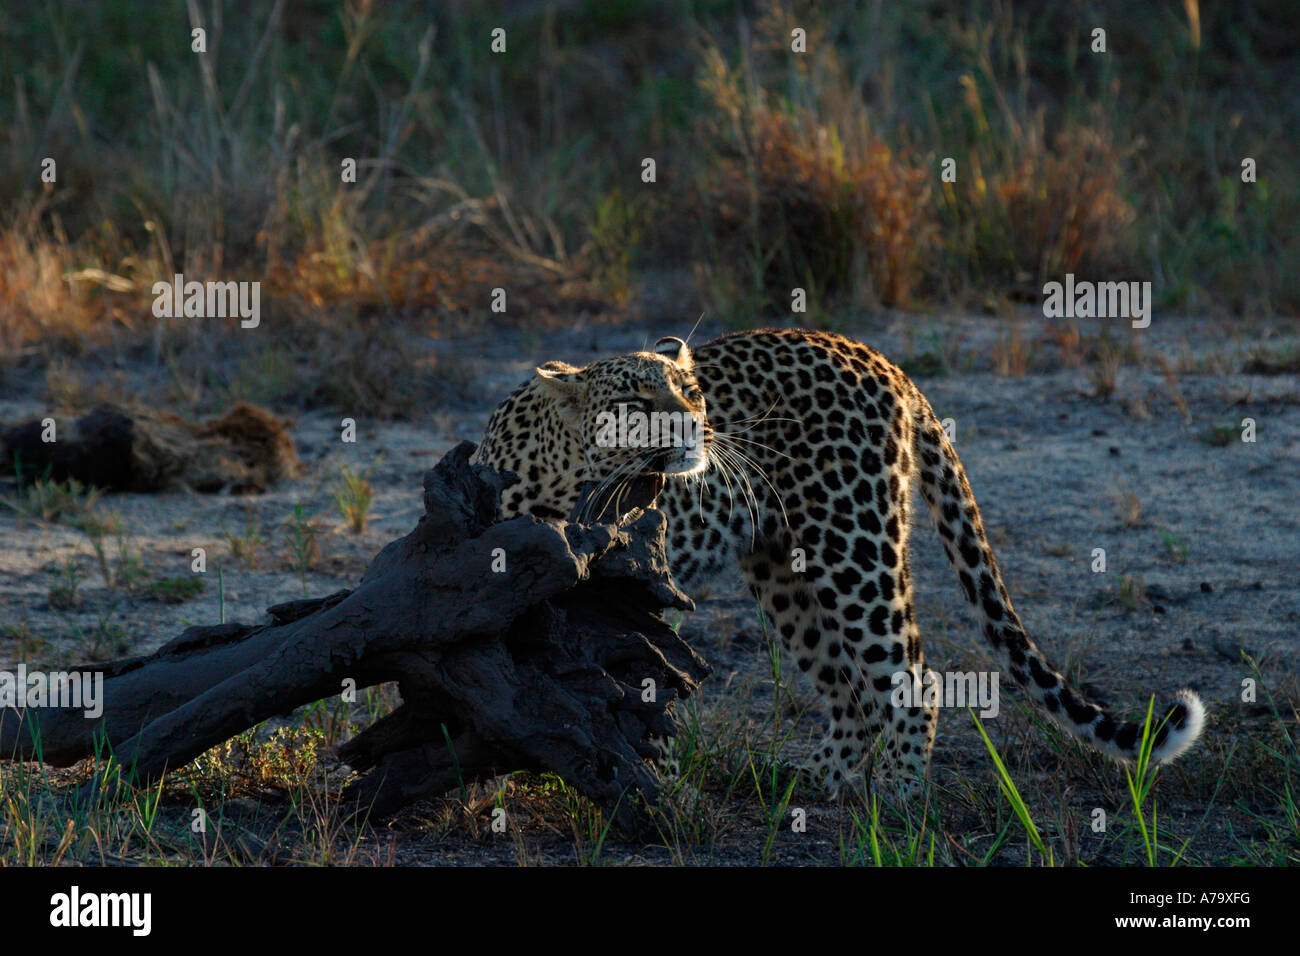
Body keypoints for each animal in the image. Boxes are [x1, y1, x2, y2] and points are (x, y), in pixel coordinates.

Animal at [472, 327, 1205, 794]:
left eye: (691, 392)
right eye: (635, 401)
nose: (694, 428)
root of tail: (878, 356)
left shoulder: (646, 591)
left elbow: (642, 694)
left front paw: (641, 781)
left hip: (853, 544)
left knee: (913, 678)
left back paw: (900, 796)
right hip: (783, 569)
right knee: (852, 691)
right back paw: (810, 781)